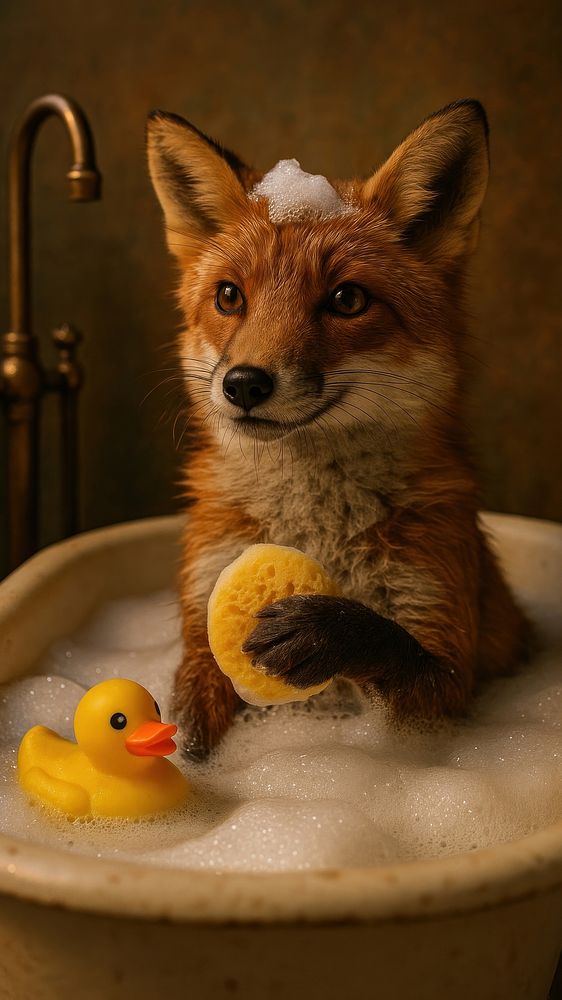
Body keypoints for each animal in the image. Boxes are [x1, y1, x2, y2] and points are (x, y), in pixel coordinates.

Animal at [146, 99, 532, 759]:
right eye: (229, 297)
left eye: (348, 300)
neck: (315, 525)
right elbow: (190, 722)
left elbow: (394, 650)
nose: (243, 384)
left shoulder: (446, 667)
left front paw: (330, 631)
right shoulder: (202, 614)